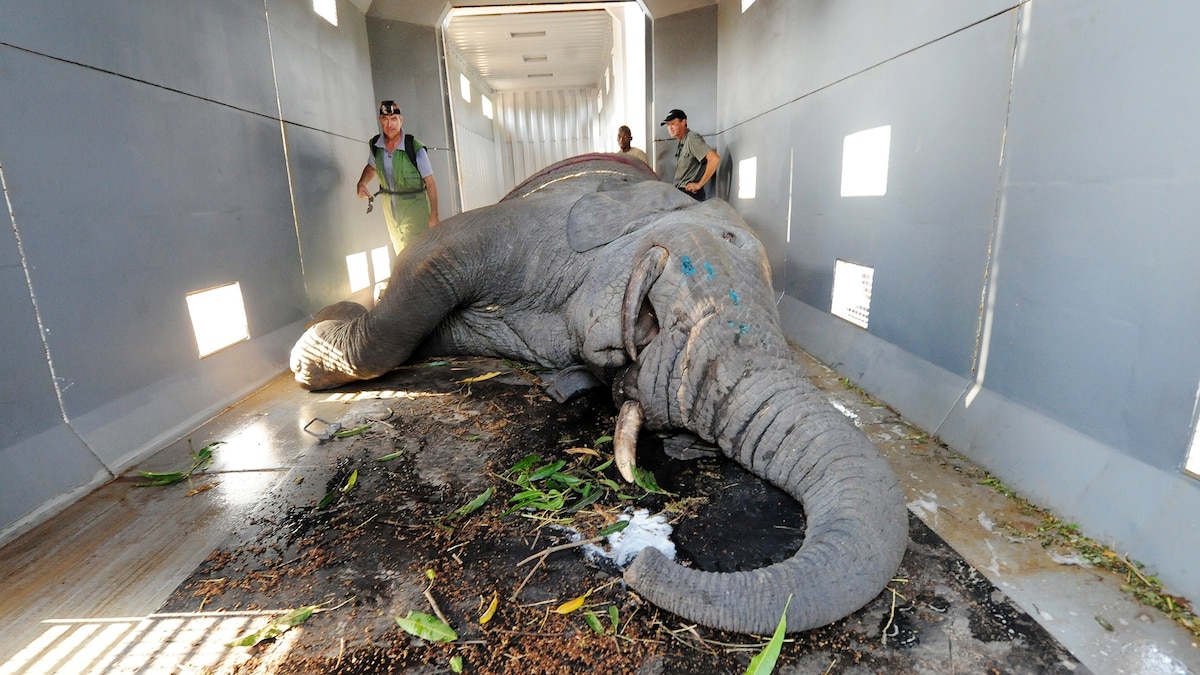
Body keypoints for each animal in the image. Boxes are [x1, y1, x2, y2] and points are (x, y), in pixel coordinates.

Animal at [290, 154, 909, 635]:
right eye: (729, 239)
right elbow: (429, 268)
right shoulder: (529, 225)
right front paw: (312, 345)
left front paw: (569, 381)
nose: (644, 565)